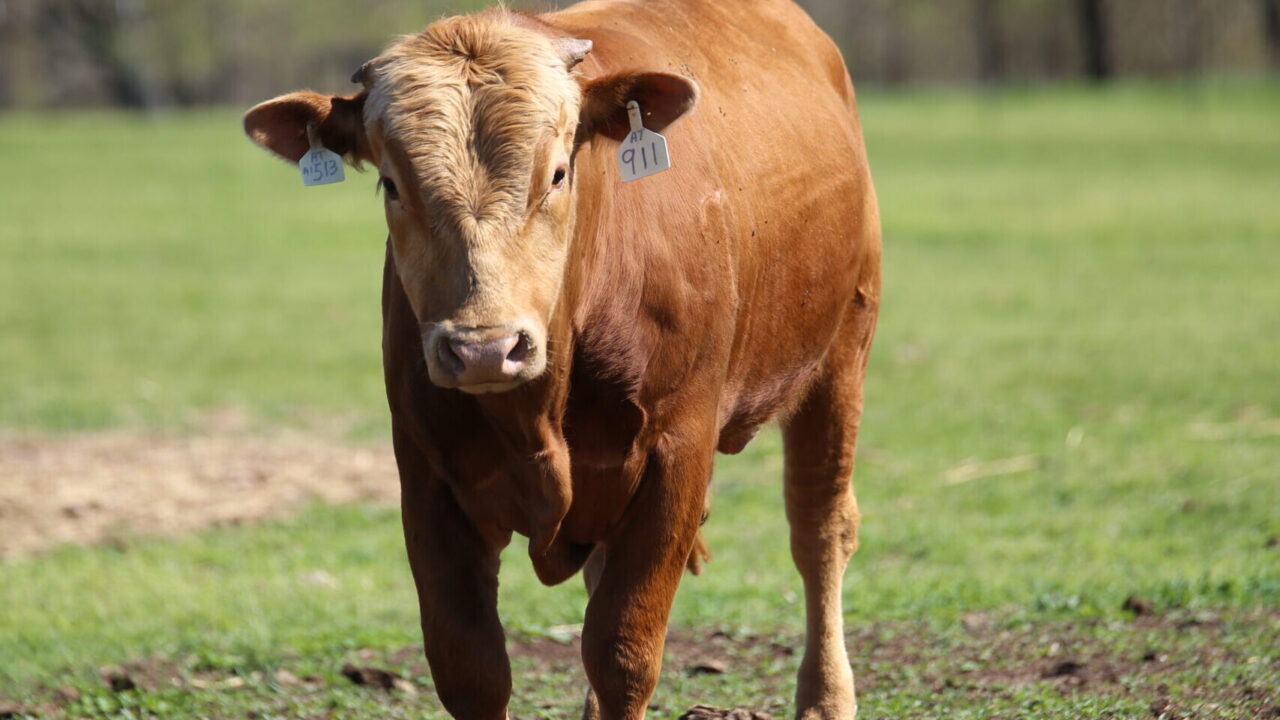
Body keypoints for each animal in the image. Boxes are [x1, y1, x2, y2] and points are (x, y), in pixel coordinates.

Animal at [243, 0, 881, 717]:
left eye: (556, 174)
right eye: (390, 184)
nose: (484, 348)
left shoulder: (675, 454)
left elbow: (621, 650)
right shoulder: (427, 475)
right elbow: (470, 665)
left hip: (841, 353)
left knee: (820, 525)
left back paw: (826, 694)